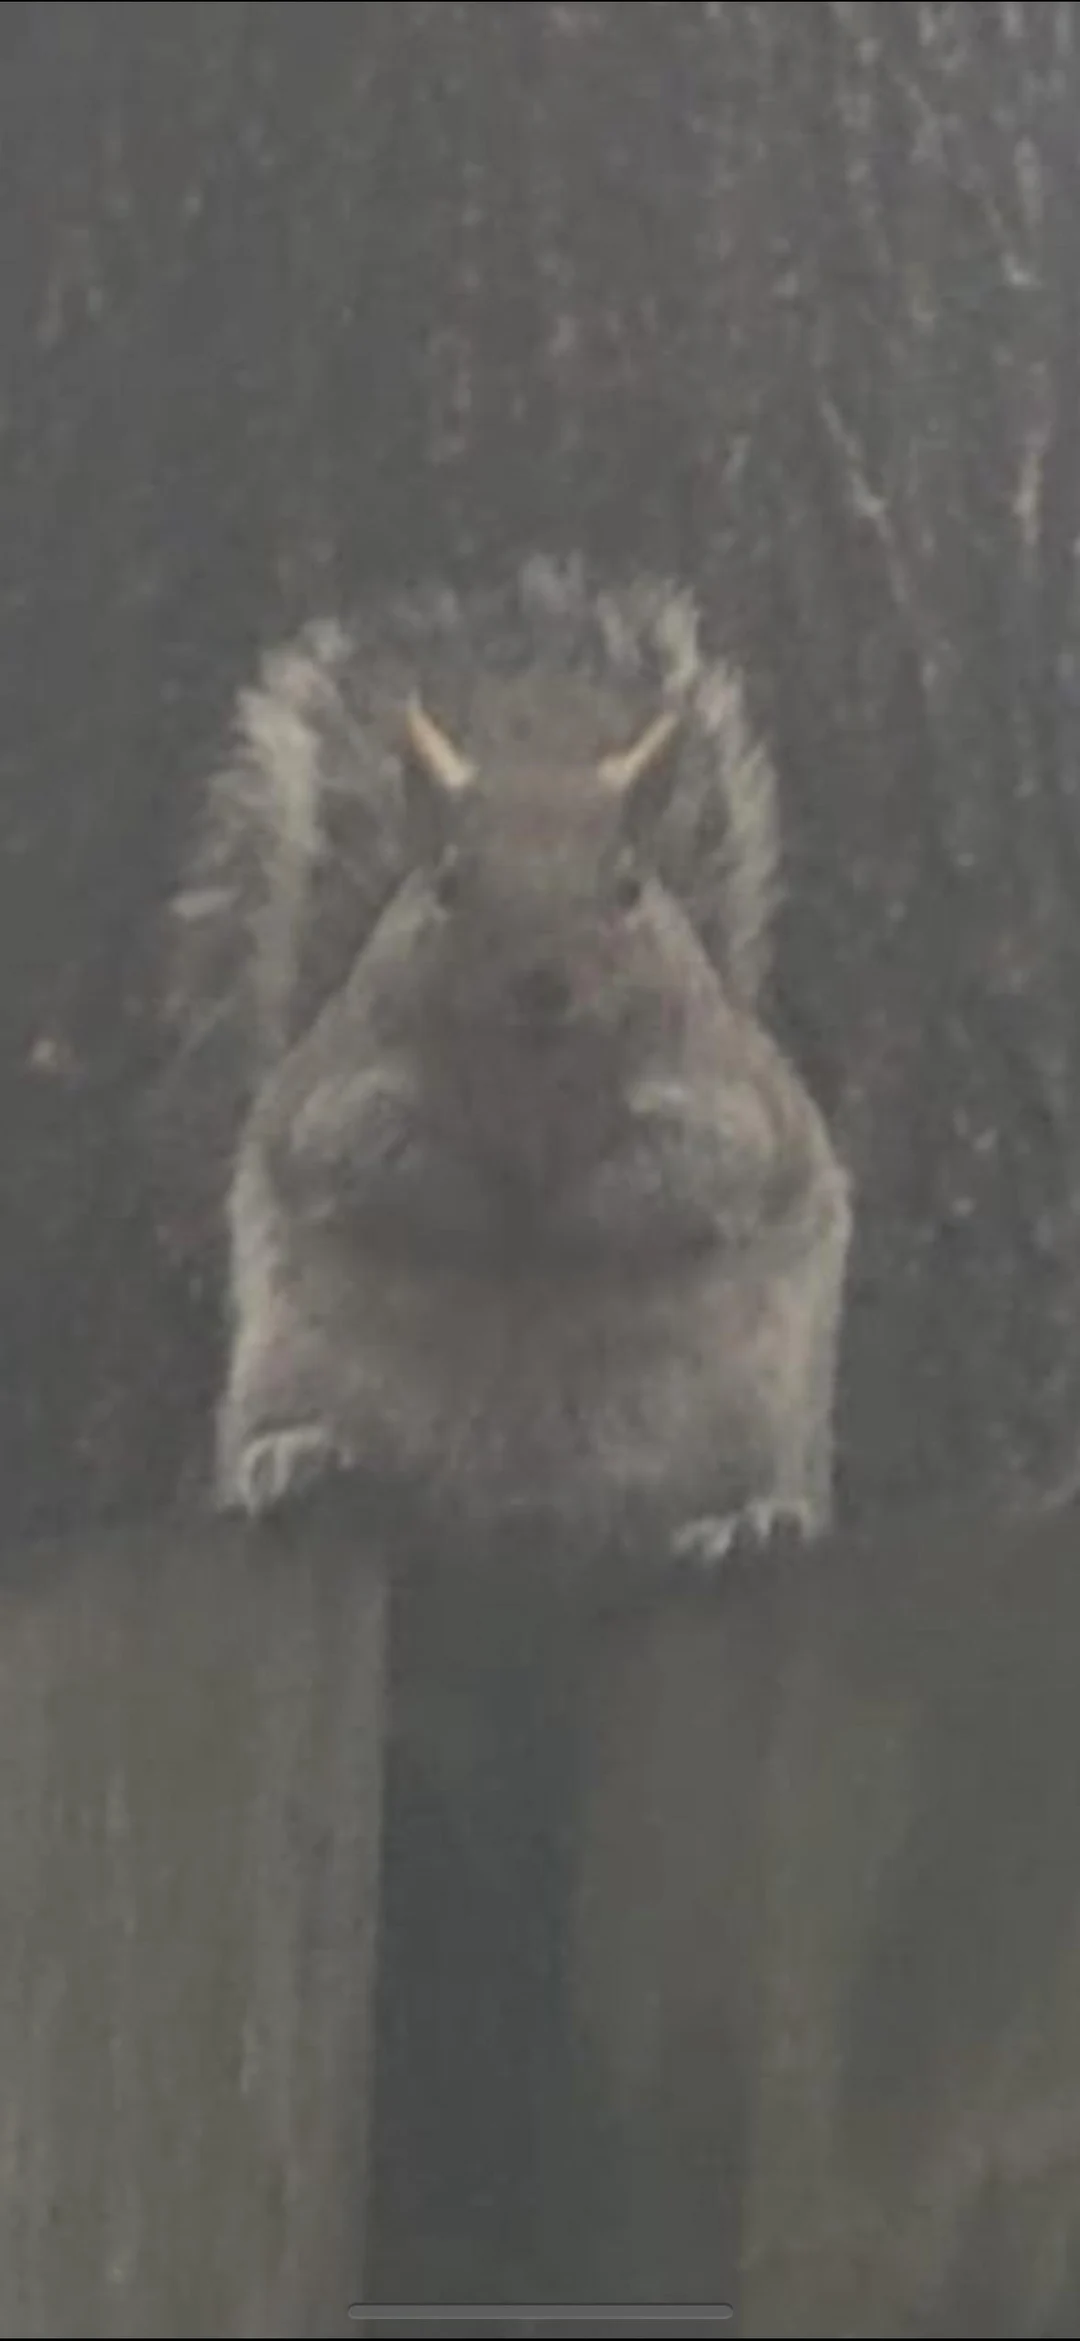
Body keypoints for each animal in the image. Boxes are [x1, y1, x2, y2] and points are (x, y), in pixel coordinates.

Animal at [161, 556, 852, 1573]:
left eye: (629, 887)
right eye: (448, 881)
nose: (541, 982)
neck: (534, 1081)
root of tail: (521, 1518)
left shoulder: (735, 1104)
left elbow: (697, 1167)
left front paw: (573, 1214)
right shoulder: (333, 1093)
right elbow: (362, 1155)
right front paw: (485, 1205)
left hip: (761, 1405)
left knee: (748, 1477)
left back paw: (753, 1518)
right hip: (290, 1361)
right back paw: (292, 1457)